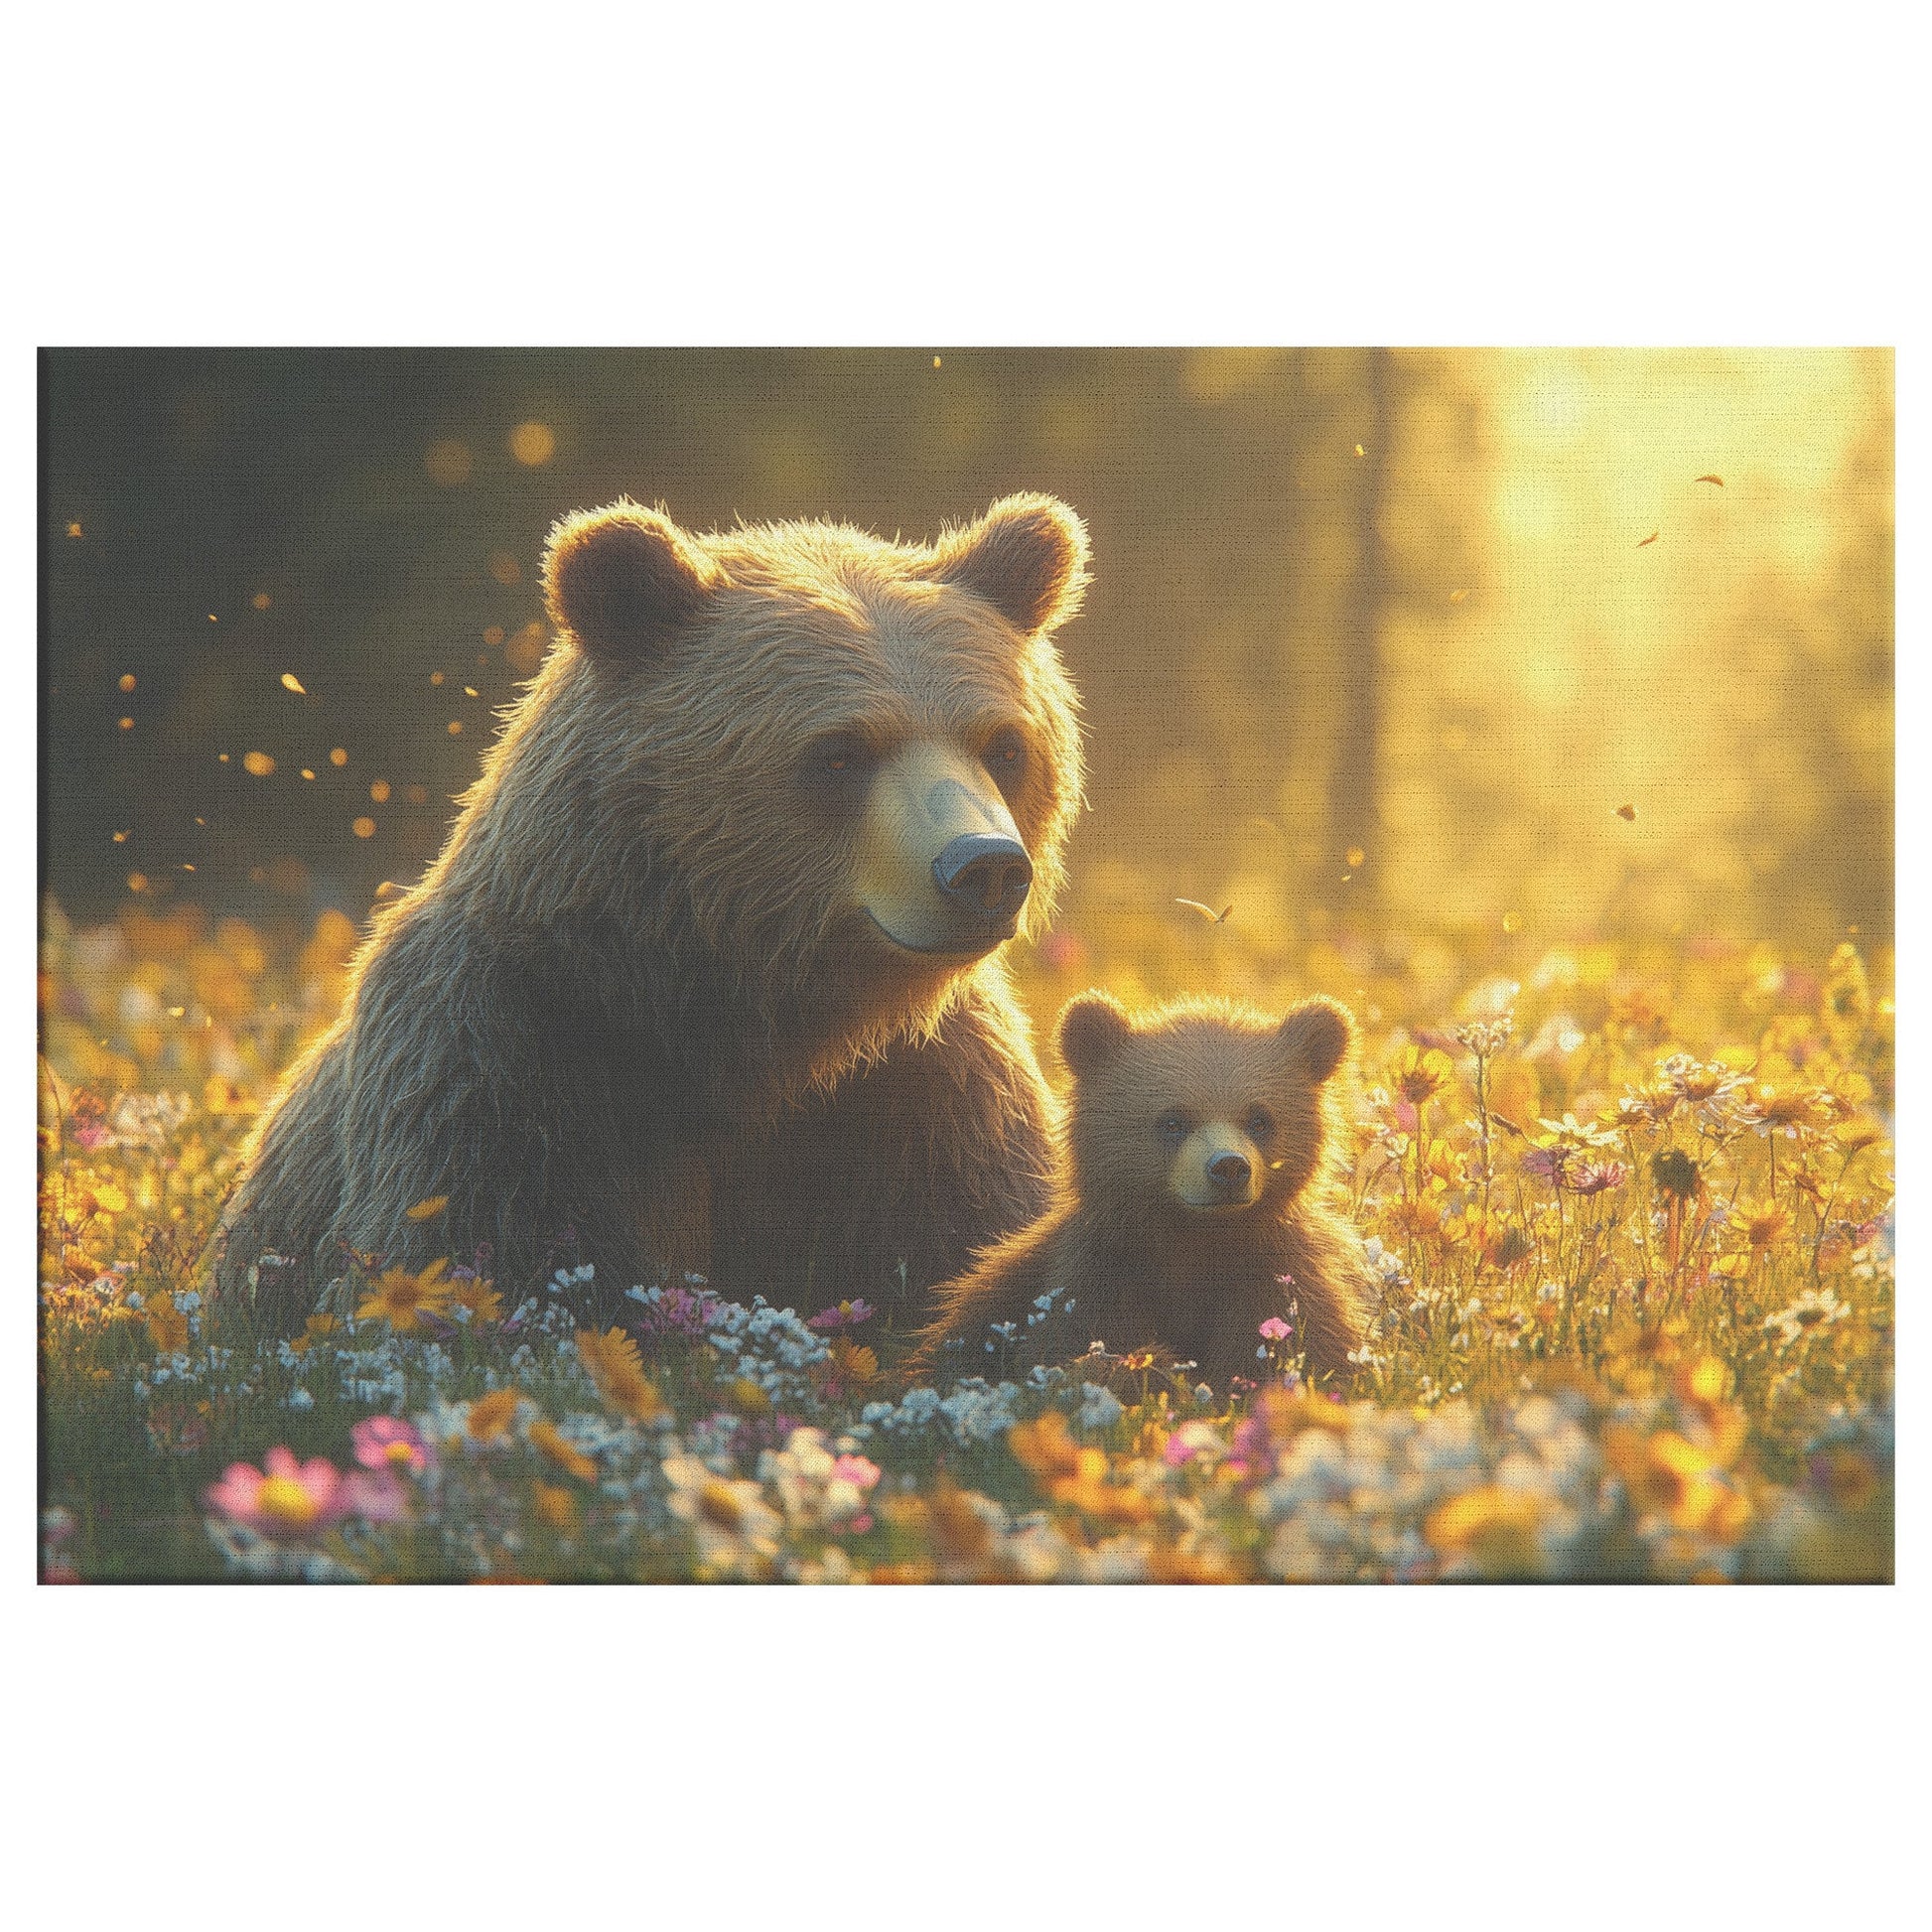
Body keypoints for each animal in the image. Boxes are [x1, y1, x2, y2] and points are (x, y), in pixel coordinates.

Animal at [216, 493, 1091, 1329]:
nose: (982, 868)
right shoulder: (504, 1050)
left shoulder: (924, 1091)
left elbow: (977, 1234)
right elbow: (480, 1244)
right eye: (841, 752)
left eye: (1005, 745)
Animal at [905, 989, 1373, 1388]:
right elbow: (1070, 1347)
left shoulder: (1274, 1273)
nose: (1228, 1168)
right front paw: (1150, 1365)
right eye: (1173, 1120)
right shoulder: (1102, 1272)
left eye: (1260, 1119)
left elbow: (1289, 1349)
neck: (1193, 1239)